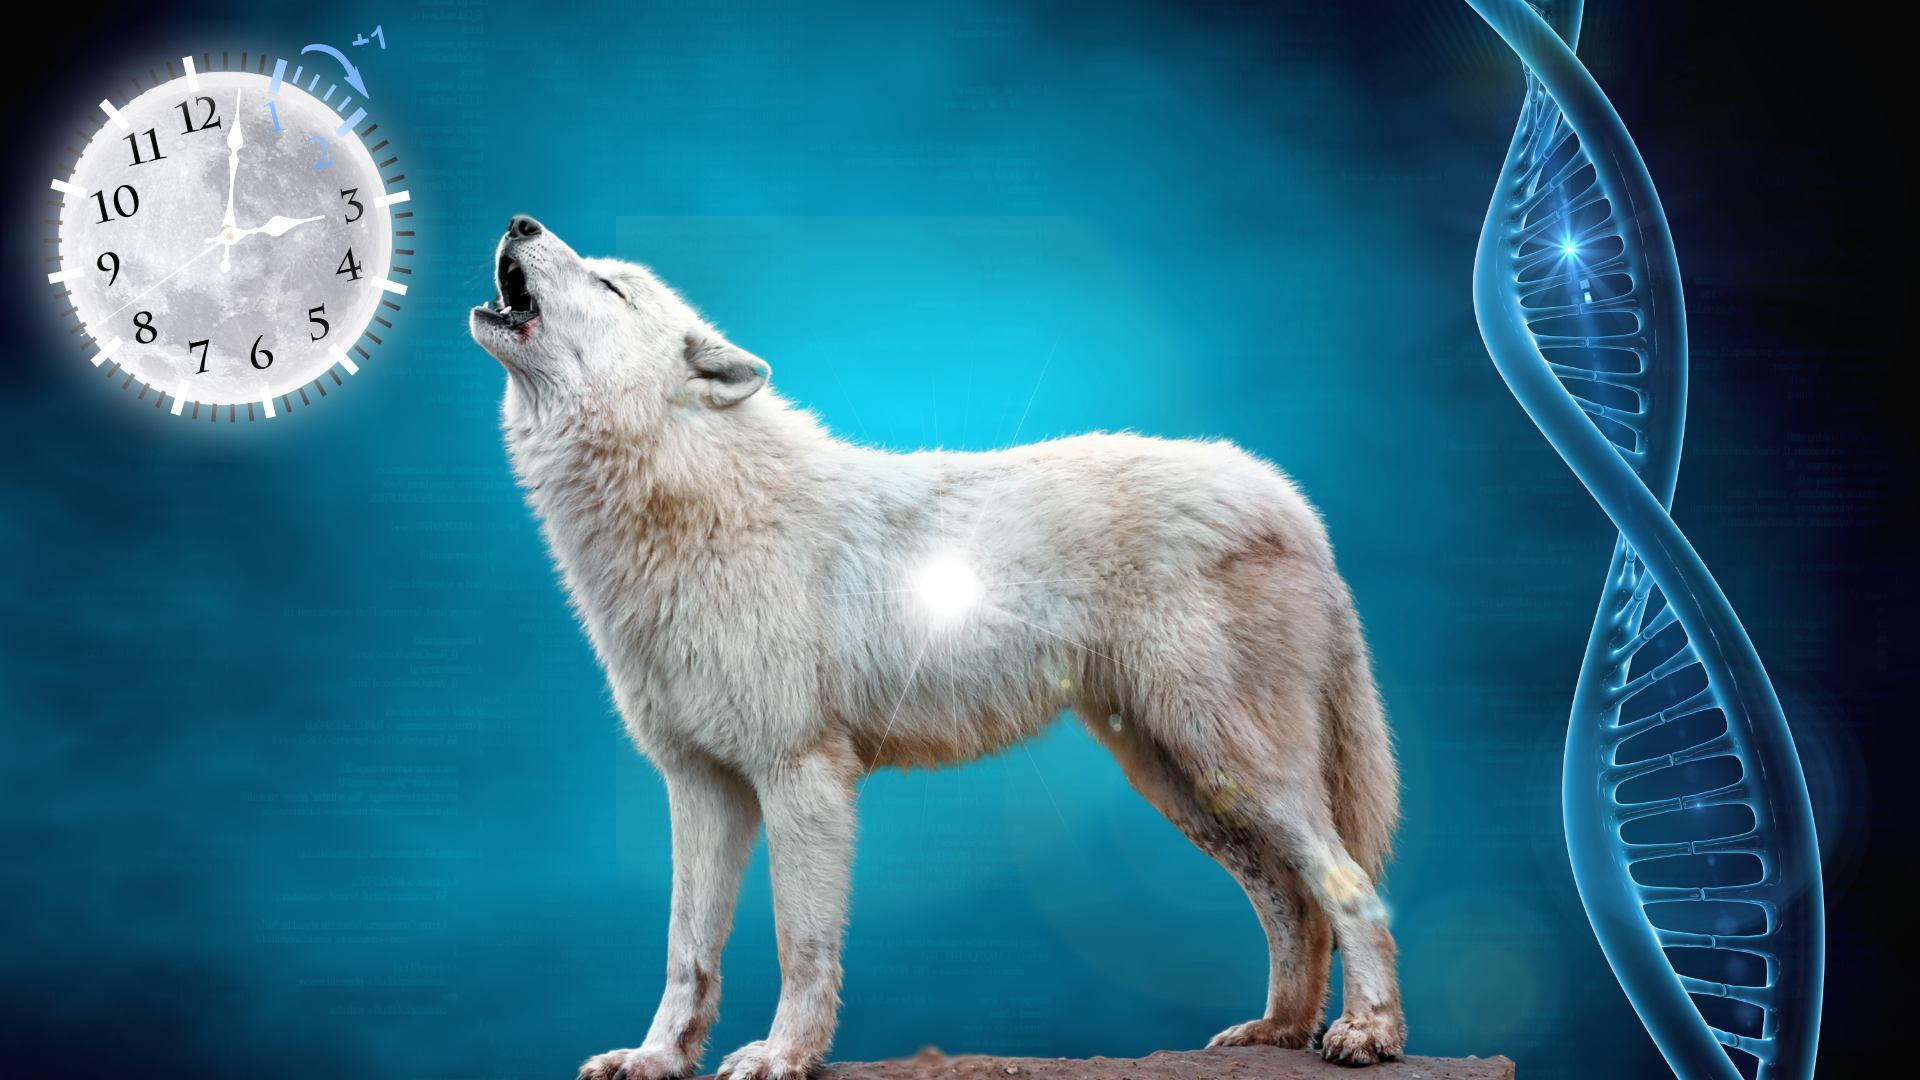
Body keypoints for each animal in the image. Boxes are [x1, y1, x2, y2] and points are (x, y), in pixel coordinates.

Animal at [470, 215, 1405, 1079]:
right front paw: (656, 1059)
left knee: (1351, 890)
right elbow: (686, 952)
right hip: (1182, 780)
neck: (690, 499)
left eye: (610, 285)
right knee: (1293, 905)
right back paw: (1276, 1031)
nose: (519, 222)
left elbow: (799, 945)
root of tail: (1287, 496)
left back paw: (1366, 1034)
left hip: (1233, 764)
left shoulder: (801, 774)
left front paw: (783, 1056)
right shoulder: (700, 783)